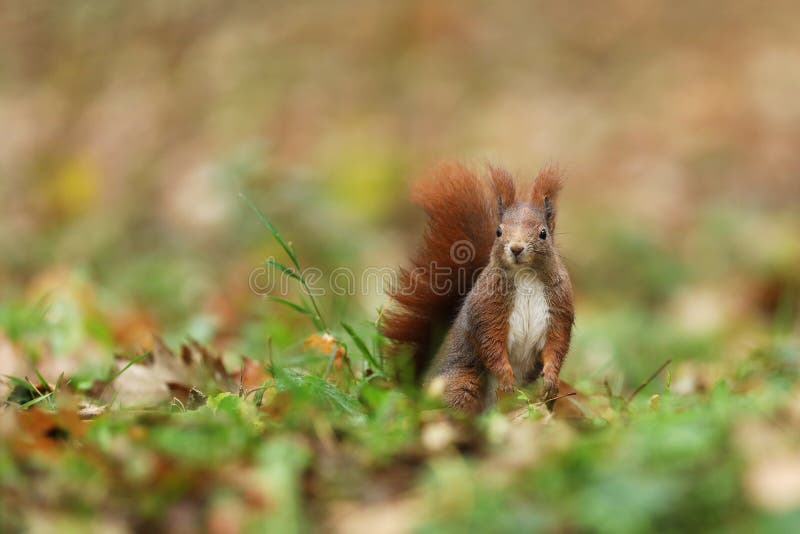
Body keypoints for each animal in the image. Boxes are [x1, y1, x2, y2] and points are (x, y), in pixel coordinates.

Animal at [382, 162, 574, 414]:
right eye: (499, 231)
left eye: (543, 233)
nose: (516, 248)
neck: (526, 277)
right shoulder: (487, 308)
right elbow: (490, 343)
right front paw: (506, 379)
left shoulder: (559, 309)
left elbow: (557, 345)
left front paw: (551, 380)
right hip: (461, 383)